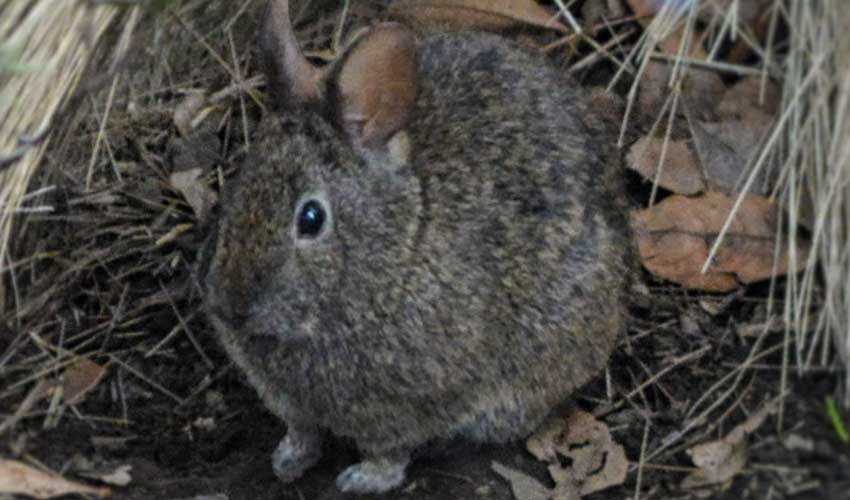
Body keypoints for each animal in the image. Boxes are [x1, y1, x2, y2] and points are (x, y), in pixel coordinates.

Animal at [199, 0, 632, 494]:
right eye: (236, 191)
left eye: (311, 219)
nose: (231, 309)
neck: (398, 249)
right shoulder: (291, 400)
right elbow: (303, 428)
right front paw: (289, 459)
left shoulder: (405, 408)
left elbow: (389, 450)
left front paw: (362, 480)